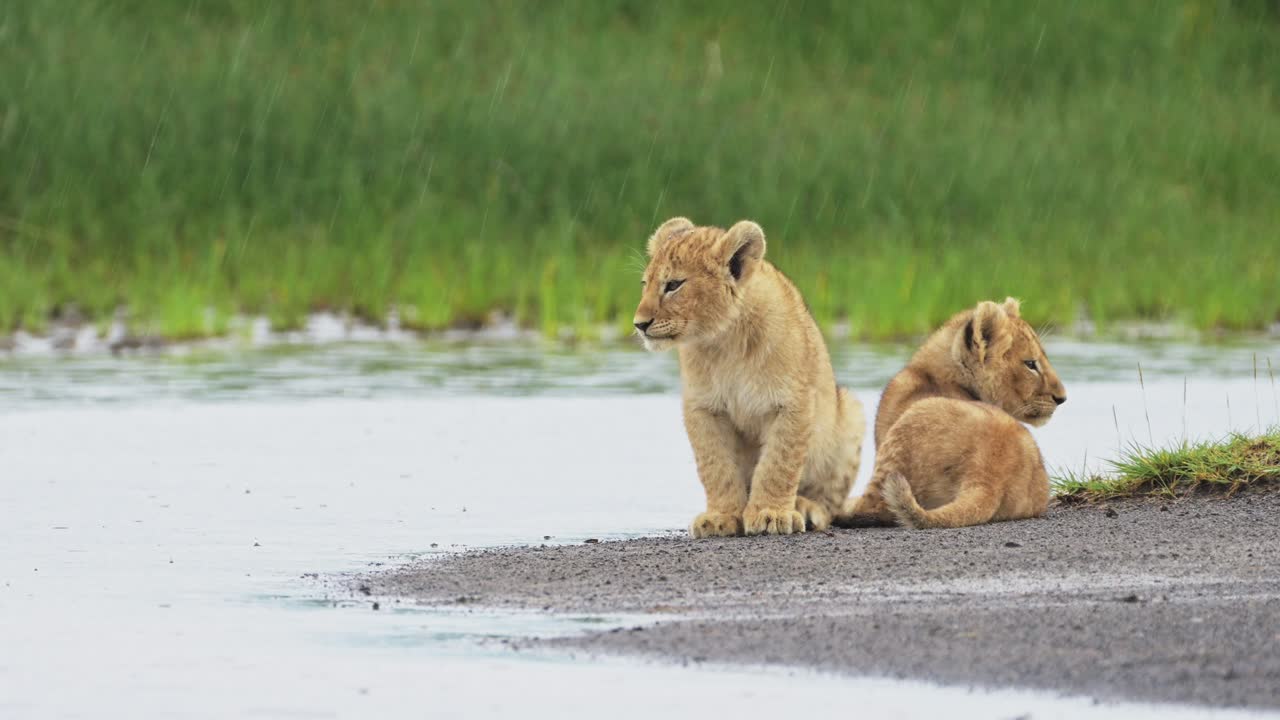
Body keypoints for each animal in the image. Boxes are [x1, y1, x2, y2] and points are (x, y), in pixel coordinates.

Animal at [633, 217, 865, 537]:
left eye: (674, 285)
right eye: (646, 284)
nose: (639, 324)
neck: (724, 341)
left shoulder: (792, 403)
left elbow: (778, 464)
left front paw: (771, 514)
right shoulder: (703, 407)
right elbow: (716, 466)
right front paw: (720, 517)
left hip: (850, 413)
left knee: (829, 501)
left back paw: (807, 508)